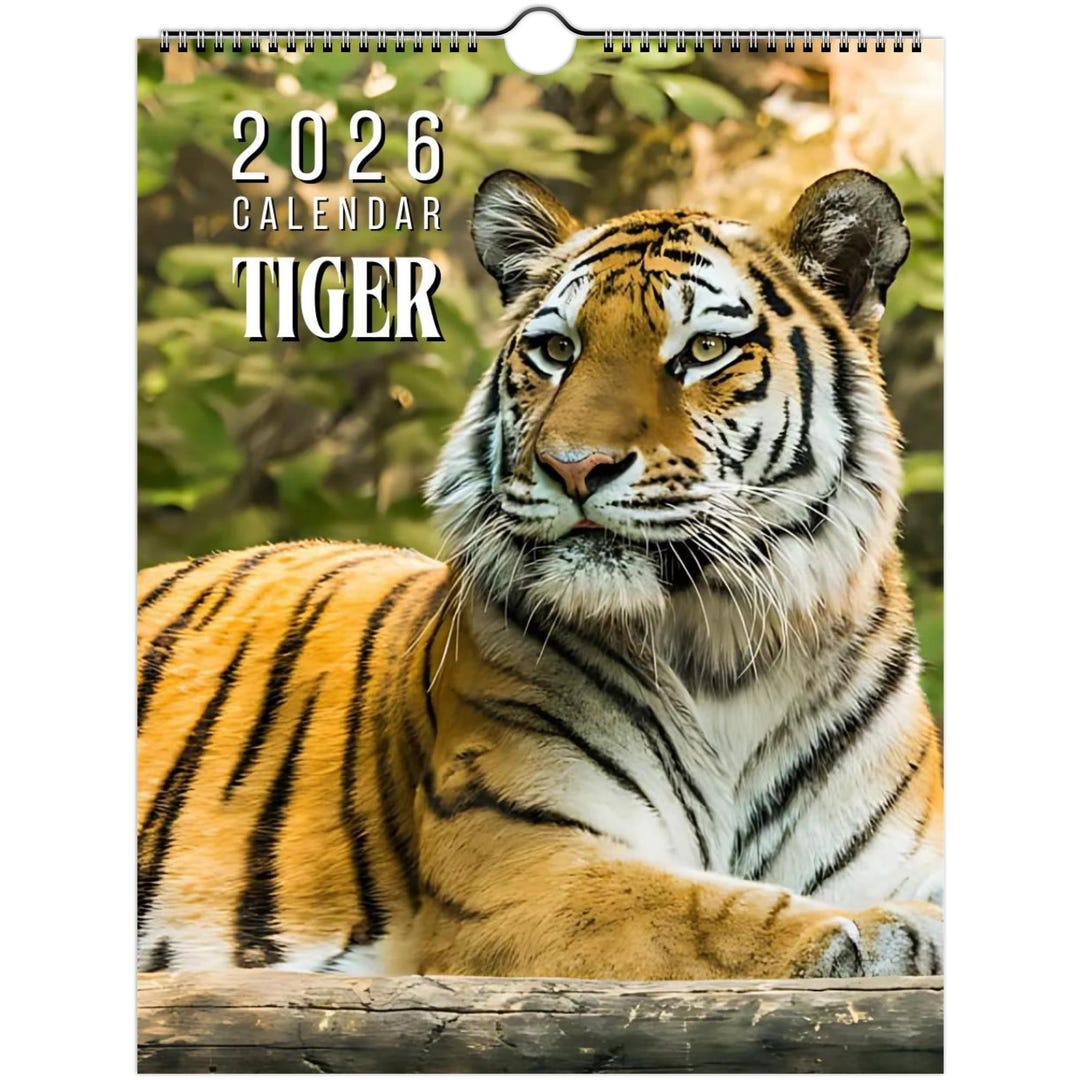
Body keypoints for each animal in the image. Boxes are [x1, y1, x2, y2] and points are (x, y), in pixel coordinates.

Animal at [138, 168, 943, 980]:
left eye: (705, 349)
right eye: (558, 349)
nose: (574, 466)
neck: (725, 651)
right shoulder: (517, 860)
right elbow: (701, 911)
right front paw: (885, 932)